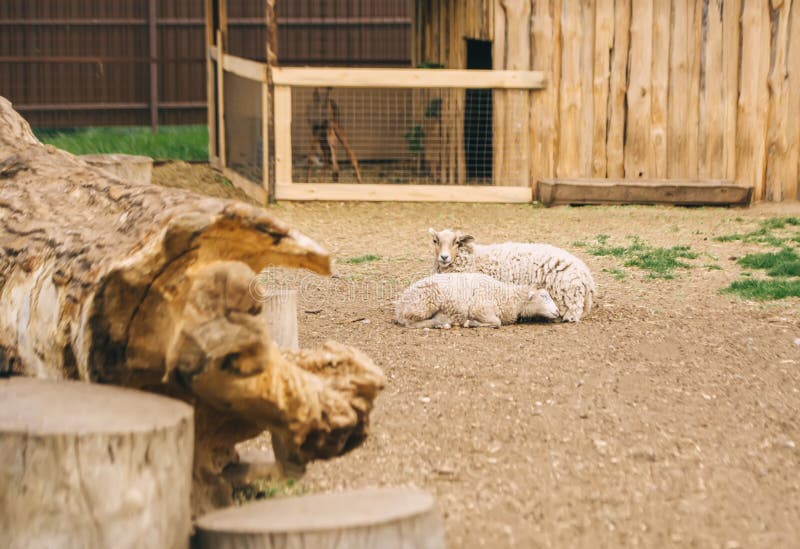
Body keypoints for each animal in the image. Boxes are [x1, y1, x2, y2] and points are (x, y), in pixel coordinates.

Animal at [394, 273, 559, 329]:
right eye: (543, 296)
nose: (558, 311)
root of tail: (399, 306)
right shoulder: (480, 309)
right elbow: (497, 323)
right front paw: (471, 323)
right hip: (423, 304)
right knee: (410, 323)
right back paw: (440, 323)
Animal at [428, 228, 596, 322]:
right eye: (435, 241)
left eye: (456, 242)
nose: (444, 257)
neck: (472, 258)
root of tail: (585, 274)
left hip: (568, 294)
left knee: (574, 309)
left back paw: (568, 318)